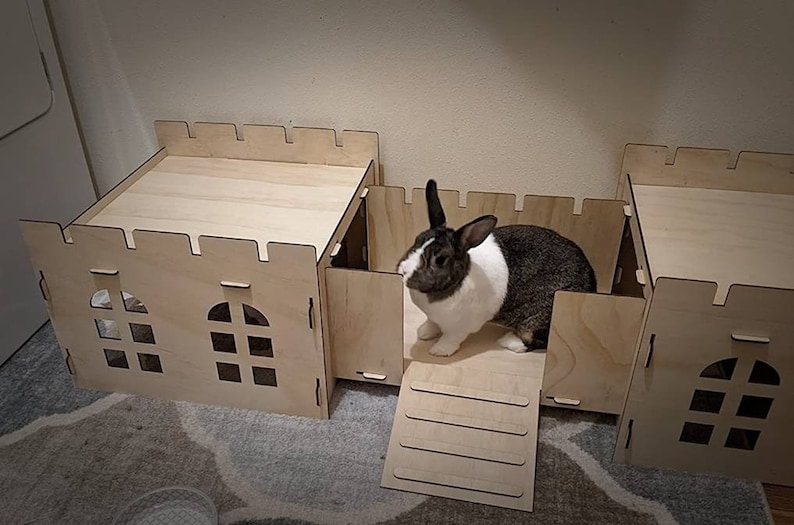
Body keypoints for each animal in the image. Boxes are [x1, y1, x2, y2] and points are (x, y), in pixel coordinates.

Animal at [397, 179, 596, 357]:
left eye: (440, 260)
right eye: (417, 240)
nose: (403, 270)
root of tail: (592, 283)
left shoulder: (460, 327)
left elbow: (451, 339)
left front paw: (439, 351)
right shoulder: (433, 317)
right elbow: (431, 323)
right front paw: (423, 333)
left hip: (539, 319)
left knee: (538, 340)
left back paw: (509, 342)